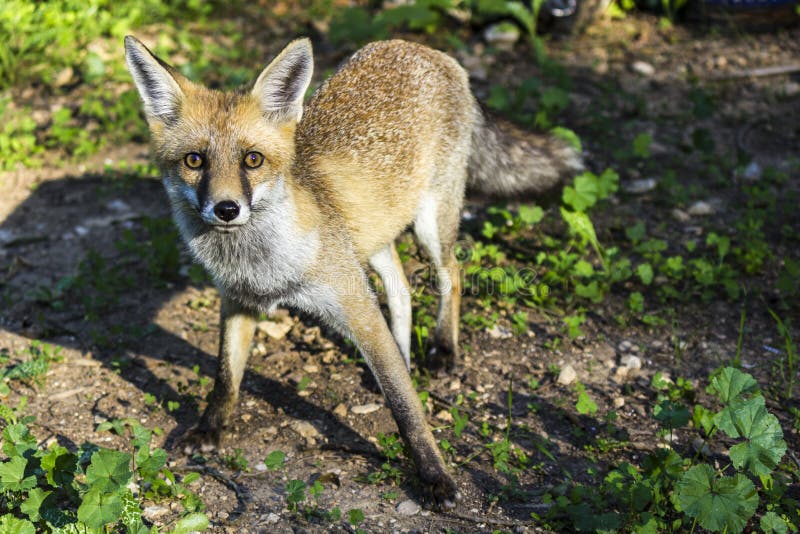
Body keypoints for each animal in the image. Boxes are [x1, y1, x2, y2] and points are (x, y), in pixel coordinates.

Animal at [124, 35, 582, 507]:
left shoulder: (355, 304)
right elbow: (225, 378)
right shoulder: (238, 301)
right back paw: (405, 353)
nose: (227, 209)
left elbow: (406, 408)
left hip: (430, 227)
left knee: (452, 275)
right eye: (194, 161)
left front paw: (434, 476)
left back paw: (444, 350)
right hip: (373, 237)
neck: (262, 263)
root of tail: (421, 48)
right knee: (401, 288)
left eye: (252, 160)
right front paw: (209, 430)